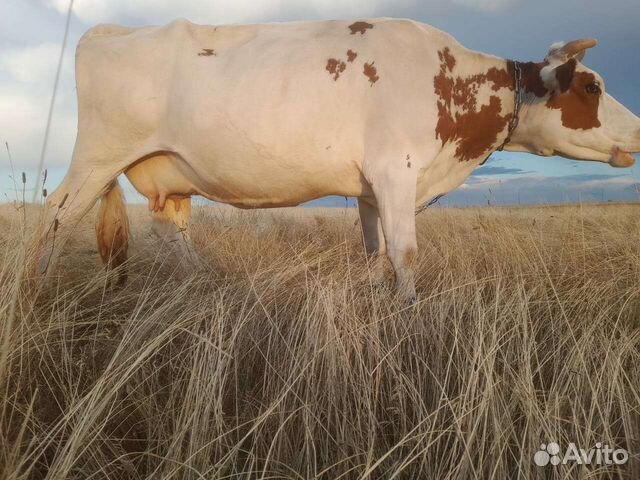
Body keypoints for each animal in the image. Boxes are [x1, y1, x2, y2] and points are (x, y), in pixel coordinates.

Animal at [40, 19, 640, 304]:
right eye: (593, 85)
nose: (637, 128)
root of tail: (109, 30)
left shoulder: (371, 188)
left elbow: (374, 254)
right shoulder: (397, 171)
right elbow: (405, 254)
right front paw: (410, 314)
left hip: (167, 175)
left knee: (172, 234)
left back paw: (205, 284)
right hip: (95, 157)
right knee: (54, 220)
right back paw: (37, 291)